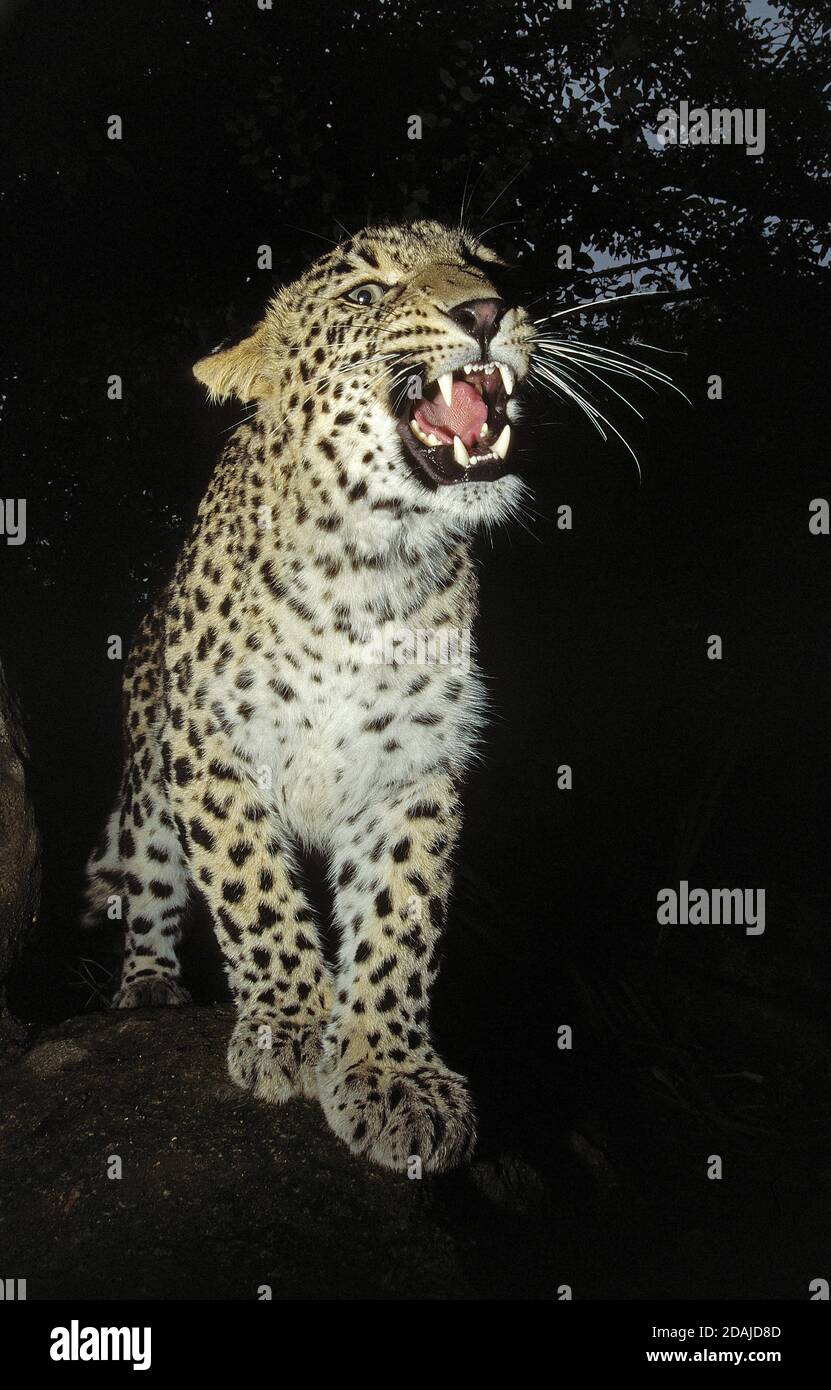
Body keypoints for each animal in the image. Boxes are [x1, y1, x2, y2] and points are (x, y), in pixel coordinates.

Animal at [85, 218, 533, 1173]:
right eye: (364, 295)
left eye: (489, 265)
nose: (487, 310)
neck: (368, 562)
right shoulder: (210, 747)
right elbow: (250, 887)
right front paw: (289, 1024)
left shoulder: (410, 764)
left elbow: (398, 921)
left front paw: (389, 1073)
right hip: (146, 787)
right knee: (147, 884)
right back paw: (149, 986)